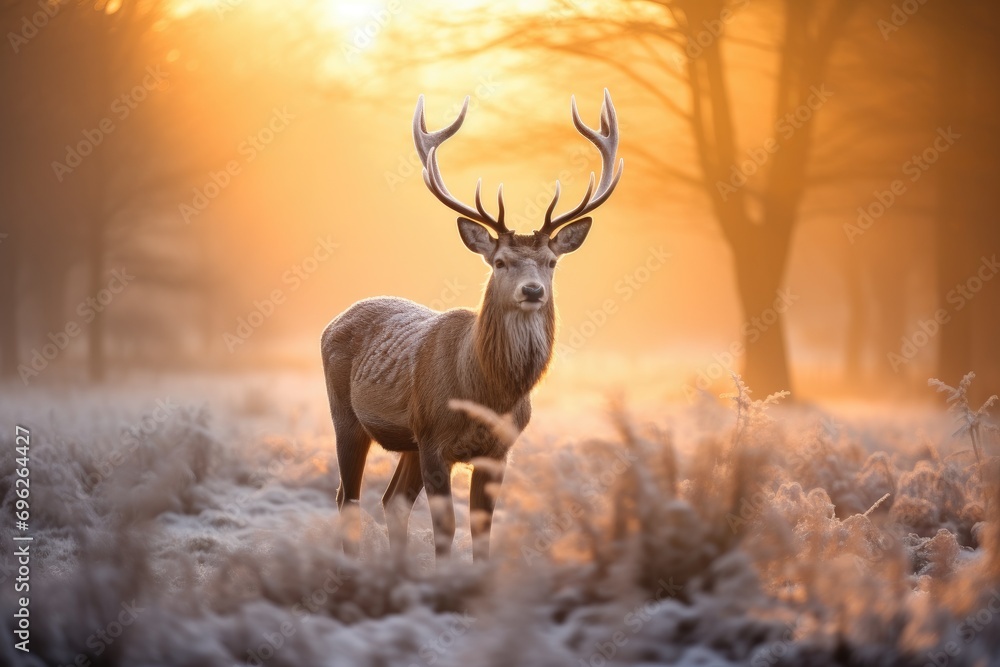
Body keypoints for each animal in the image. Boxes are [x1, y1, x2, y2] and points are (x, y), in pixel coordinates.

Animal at [320, 89, 622, 562]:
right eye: (500, 261)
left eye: (551, 262)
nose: (533, 290)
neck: (487, 392)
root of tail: (333, 321)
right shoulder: (434, 440)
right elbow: (445, 532)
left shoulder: (499, 450)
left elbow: (482, 533)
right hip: (348, 416)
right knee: (347, 497)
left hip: (408, 441)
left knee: (392, 501)